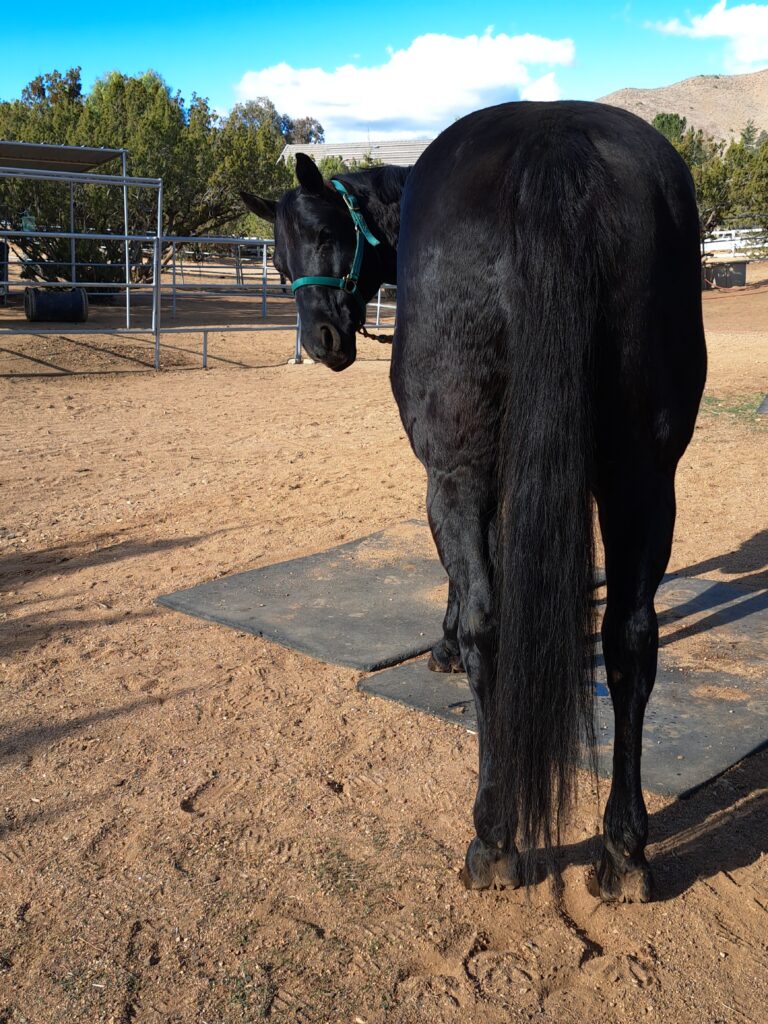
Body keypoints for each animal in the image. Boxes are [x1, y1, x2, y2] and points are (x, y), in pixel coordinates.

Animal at [242, 100, 707, 902]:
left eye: (328, 235)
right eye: (276, 257)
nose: (323, 340)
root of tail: (556, 143)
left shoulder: (459, 476)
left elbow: (471, 590)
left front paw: (443, 645)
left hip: (462, 471)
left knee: (493, 629)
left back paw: (494, 837)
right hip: (645, 480)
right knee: (631, 639)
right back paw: (623, 849)